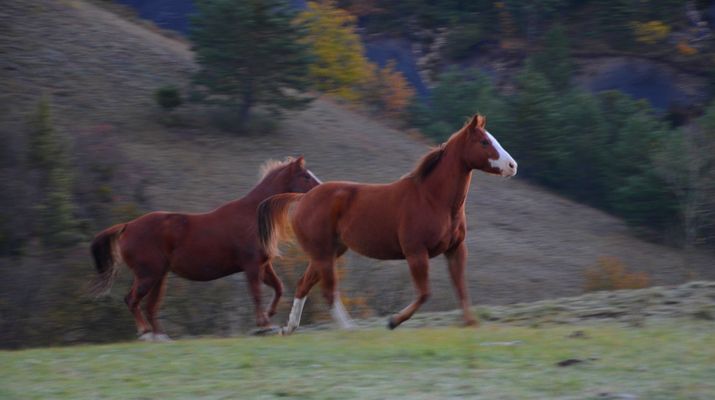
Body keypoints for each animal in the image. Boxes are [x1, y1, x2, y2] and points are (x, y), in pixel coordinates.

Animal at [89, 156, 321, 341]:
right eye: (305, 176)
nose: (321, 189)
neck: (253, 215)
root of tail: (127, 226)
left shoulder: (263, 266)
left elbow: (279, 287)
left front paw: (270, 316)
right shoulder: (252, 266)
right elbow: (256, 295)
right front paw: (264, 325)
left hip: (158, 277)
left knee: (150, 306)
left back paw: (160, 336)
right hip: (148, 275)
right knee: (132, 300)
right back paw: (146, 333)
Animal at [258, 115, 517, 334]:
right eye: (484, 142)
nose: (512, 166)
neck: (433, 199)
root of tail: (301, 199)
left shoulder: (455, 249)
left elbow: (460, 287)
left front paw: (471, 323)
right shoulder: (416, 252)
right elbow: (425, 293)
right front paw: (393, 321)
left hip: (328, 252)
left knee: (303, 284)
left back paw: (289, 328)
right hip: (323, 254)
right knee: (328, 291)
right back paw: (350, 329)